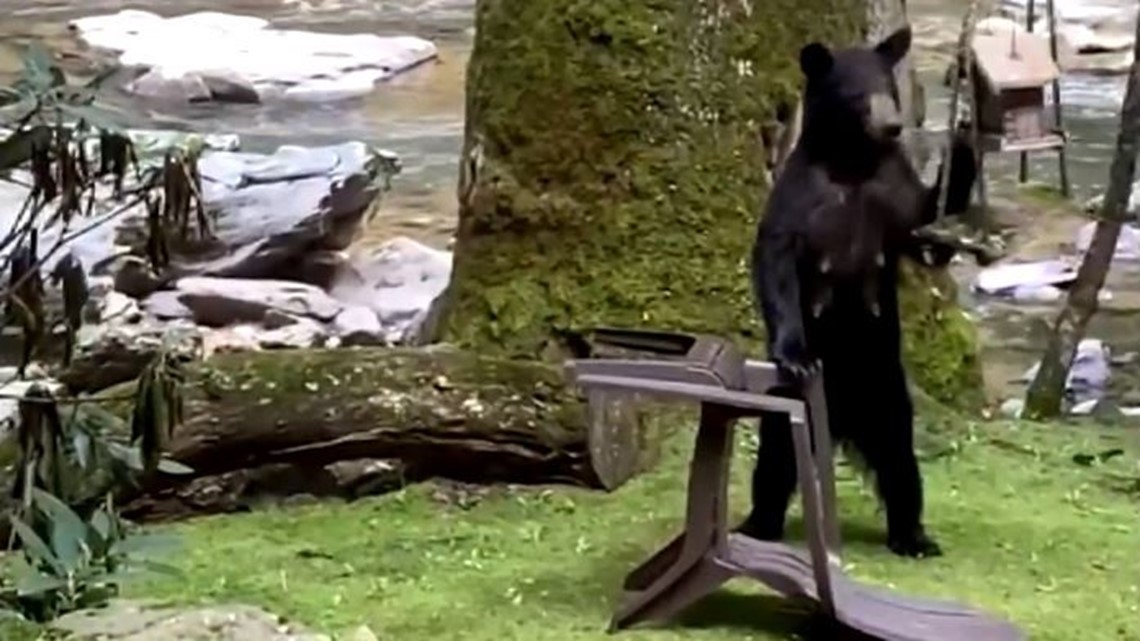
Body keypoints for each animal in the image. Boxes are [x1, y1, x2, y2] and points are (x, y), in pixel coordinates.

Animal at [740, 25, 974, 559]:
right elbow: (774, 260)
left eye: (889, 88)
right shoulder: (801, 195)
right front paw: (795, 352)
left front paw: (965, 135)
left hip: (885, 387)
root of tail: (844, 419)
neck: (853, 162)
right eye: (855, 94)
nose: (892, 126)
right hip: (801, 402)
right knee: (776, 457)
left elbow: (926, 227)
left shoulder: (893, 190)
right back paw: (758, 523)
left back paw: (913, 535)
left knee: (900, 461)